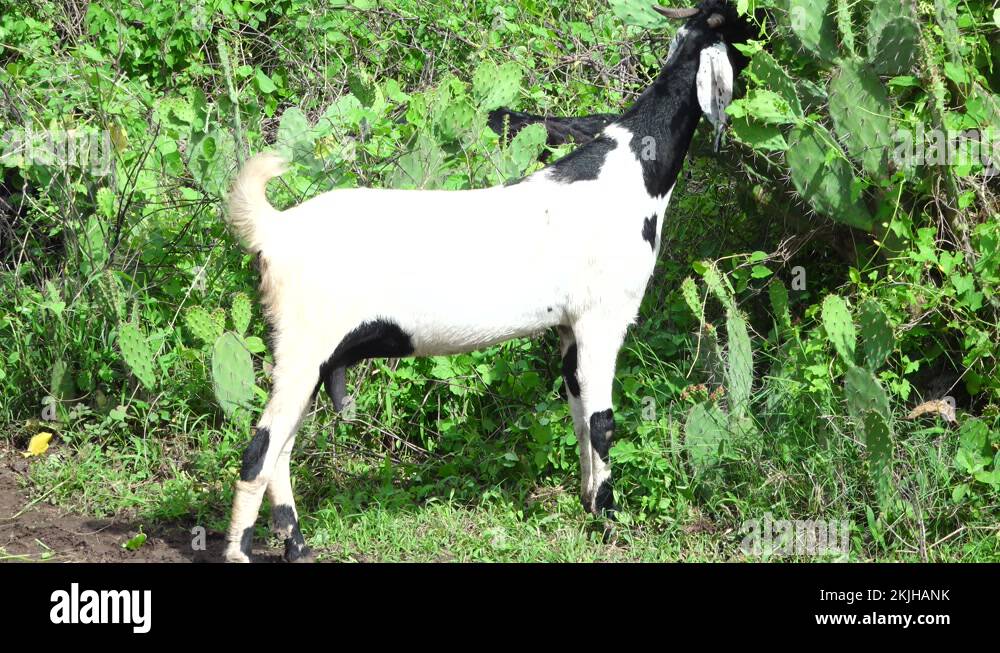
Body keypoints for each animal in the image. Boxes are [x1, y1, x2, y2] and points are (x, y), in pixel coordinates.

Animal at [223, 0, 758, 562]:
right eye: (739, 30)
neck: (629, 173)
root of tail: (276, 229)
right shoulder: (602, 318)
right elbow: (601, 422)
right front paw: (610, 518)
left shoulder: (568, 329)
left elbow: (576, 411)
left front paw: (588, 502)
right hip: (304, 345)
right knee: (259, 450)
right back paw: (243, 550)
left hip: (315, 356)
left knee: (281, 450)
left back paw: (297, 545)